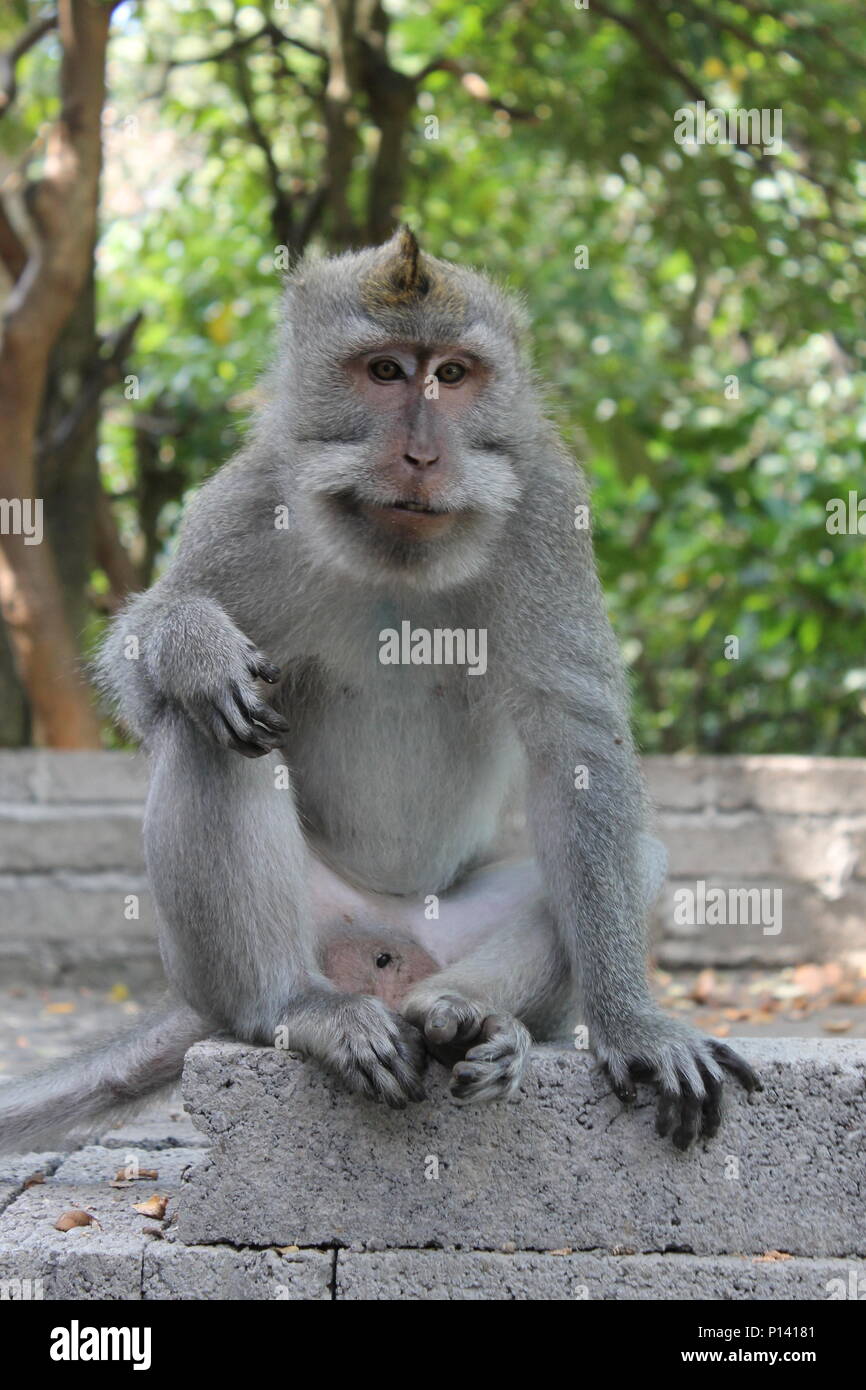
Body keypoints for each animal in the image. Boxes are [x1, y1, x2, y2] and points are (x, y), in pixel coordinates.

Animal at [0, 227, 760, 1153]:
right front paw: (195, 647)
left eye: (455, 375)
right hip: (259, 949)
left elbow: (578, 750)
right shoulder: (247, 502)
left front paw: (633, 1025)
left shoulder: (549, 510)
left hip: (444, 932)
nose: (424, 456)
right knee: (206, 734)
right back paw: (296, 1007)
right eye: (387, 372)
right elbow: (147, 684)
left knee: (630, 855)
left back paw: (466, 1015)